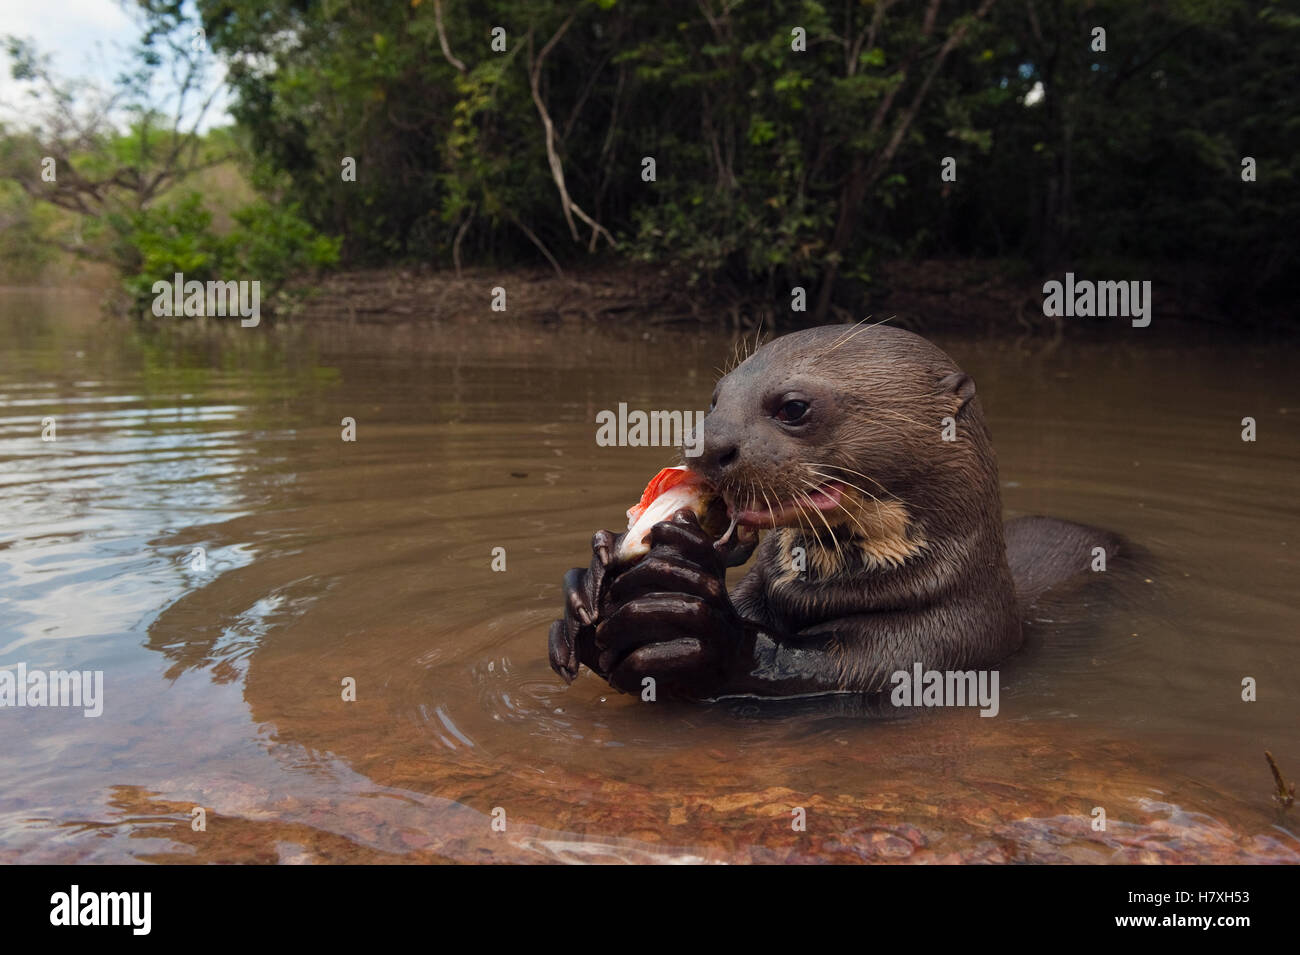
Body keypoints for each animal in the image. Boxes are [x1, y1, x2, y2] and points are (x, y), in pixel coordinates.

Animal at [548, 324, 1120, 701]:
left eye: (793, 407)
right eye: (714, 398)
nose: (704, 445)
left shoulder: (936, 649)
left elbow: (790, 663)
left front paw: (693, 622)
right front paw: (585, 588)